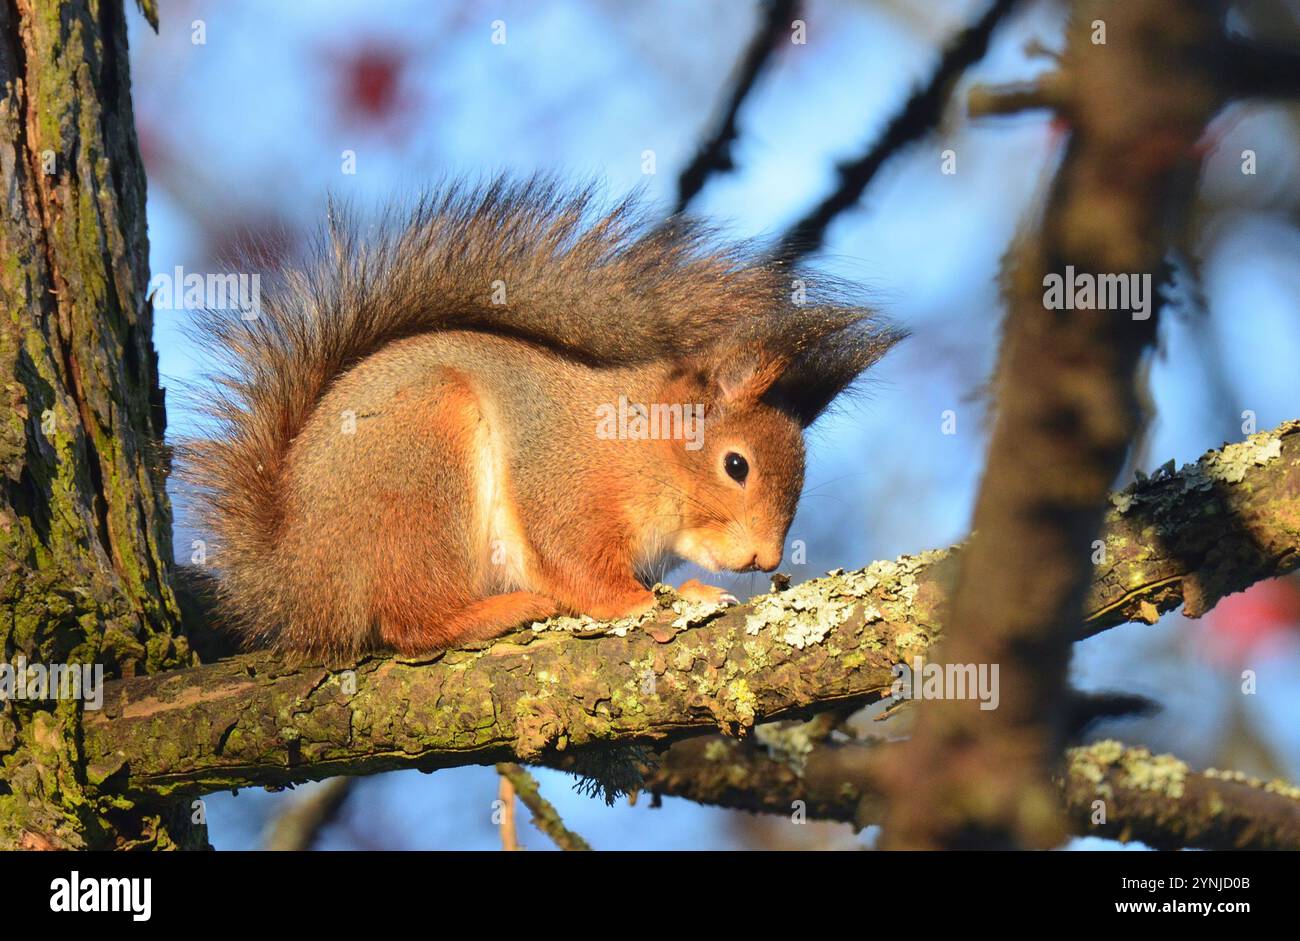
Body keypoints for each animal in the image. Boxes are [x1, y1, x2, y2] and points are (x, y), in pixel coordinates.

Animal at [181, 178, 902, 658]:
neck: (641, 448)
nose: (765, 556)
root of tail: (293, 578)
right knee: (410, 622)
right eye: (735, 465)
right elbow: (580, 566)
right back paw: (504, 610)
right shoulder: (567, 482)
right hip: (421, 466)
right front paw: (663, 601)